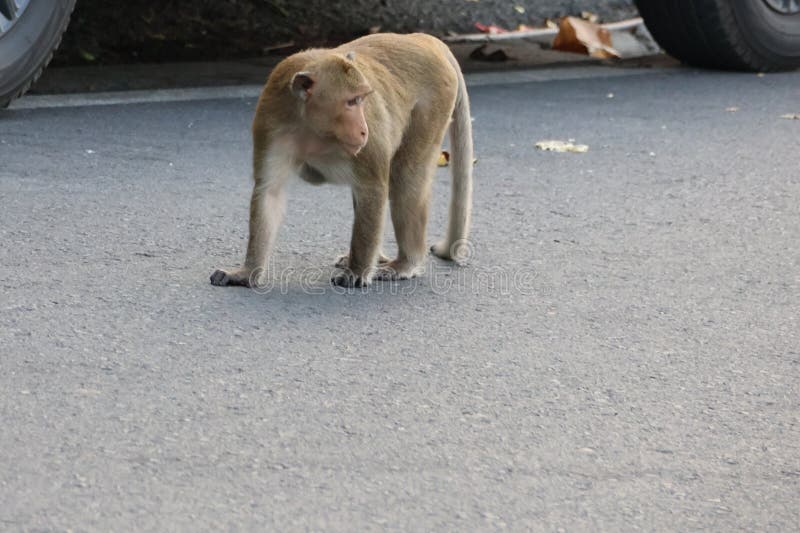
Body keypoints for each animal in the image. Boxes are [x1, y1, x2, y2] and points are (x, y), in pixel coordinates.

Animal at [210, 33, 473, 289]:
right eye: (351, 101)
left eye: (361, 100)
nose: (364, 131)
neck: (312, 127)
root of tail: (425, 39)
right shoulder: (271, 124)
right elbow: (269, 192)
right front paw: (246, 273)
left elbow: (372, 187)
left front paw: (357, 272)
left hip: (433, 104)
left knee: (405, 175)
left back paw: (405, 263)